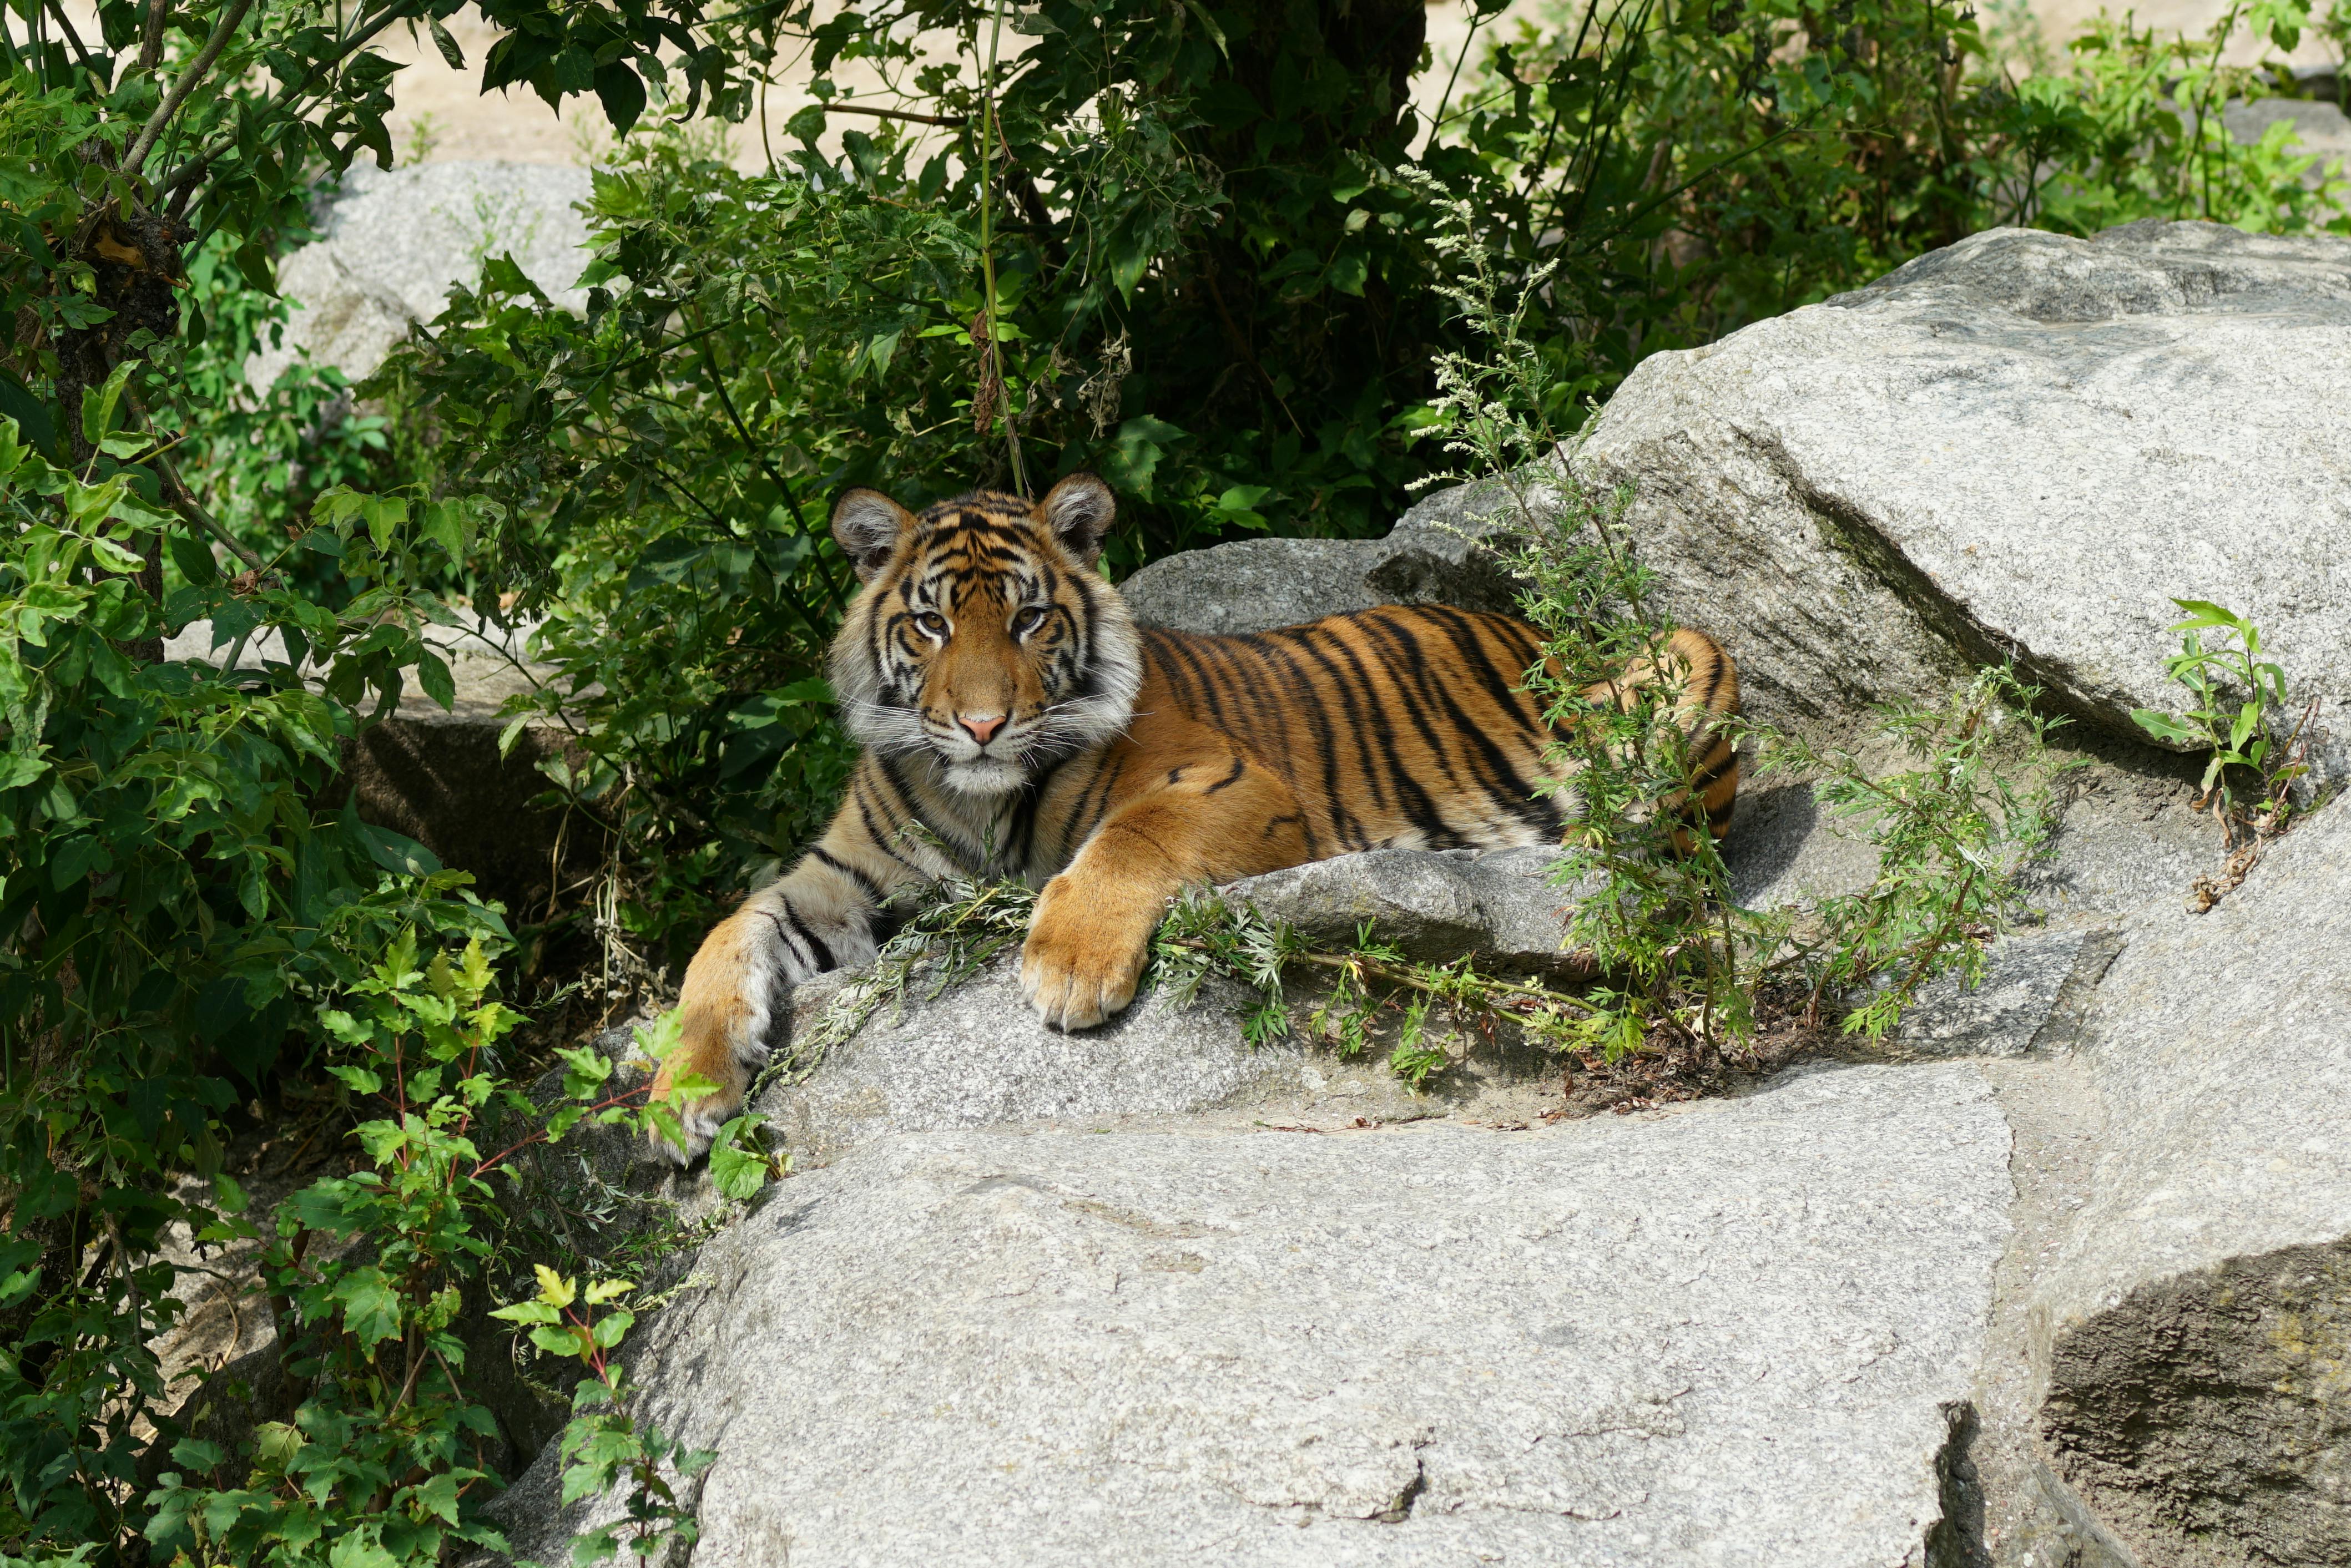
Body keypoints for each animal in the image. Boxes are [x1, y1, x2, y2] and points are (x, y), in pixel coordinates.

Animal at [646, 472, 1738, 1161]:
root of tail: (1536, 628)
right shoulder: (843, 877)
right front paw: (682, 1097)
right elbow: (725, 935)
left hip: (1688, 657)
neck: (974, 793)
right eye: (930, 624)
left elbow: (1130, 836)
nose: (984, 724)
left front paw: (1070, 964)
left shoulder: (1236, 781)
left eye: (1029, 619)